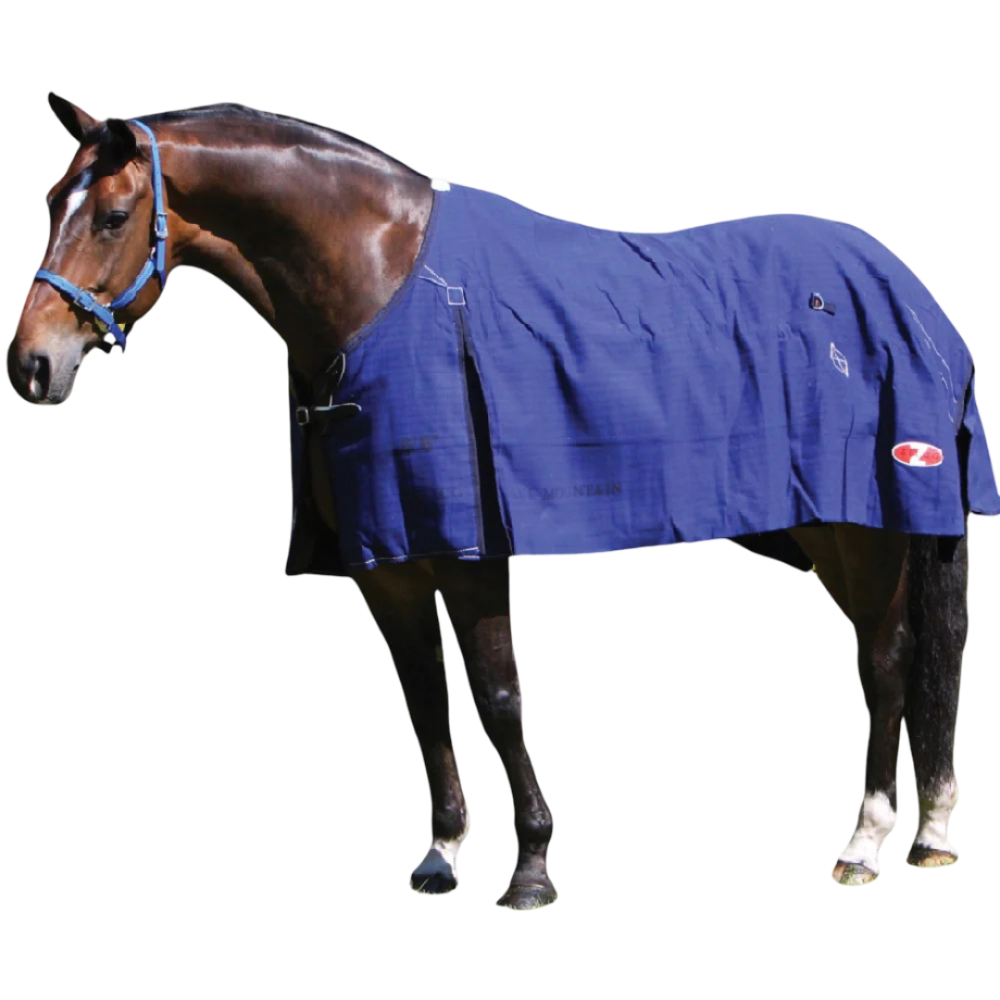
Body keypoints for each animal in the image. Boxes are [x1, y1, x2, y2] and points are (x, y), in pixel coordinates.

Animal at [8, 97, 998, 909]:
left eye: (111, 216)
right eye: (51, 205)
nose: (31, 367)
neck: (379, 282)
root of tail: (915, 297)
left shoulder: (468, 544)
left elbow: (497, 696)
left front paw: (530, 869)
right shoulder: (390, 559)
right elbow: (424, 699)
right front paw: (442, 855)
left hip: (869, 522)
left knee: (892, 660)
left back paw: (868, 842)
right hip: (839, 531)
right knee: (902, 652)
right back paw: (917, 831)